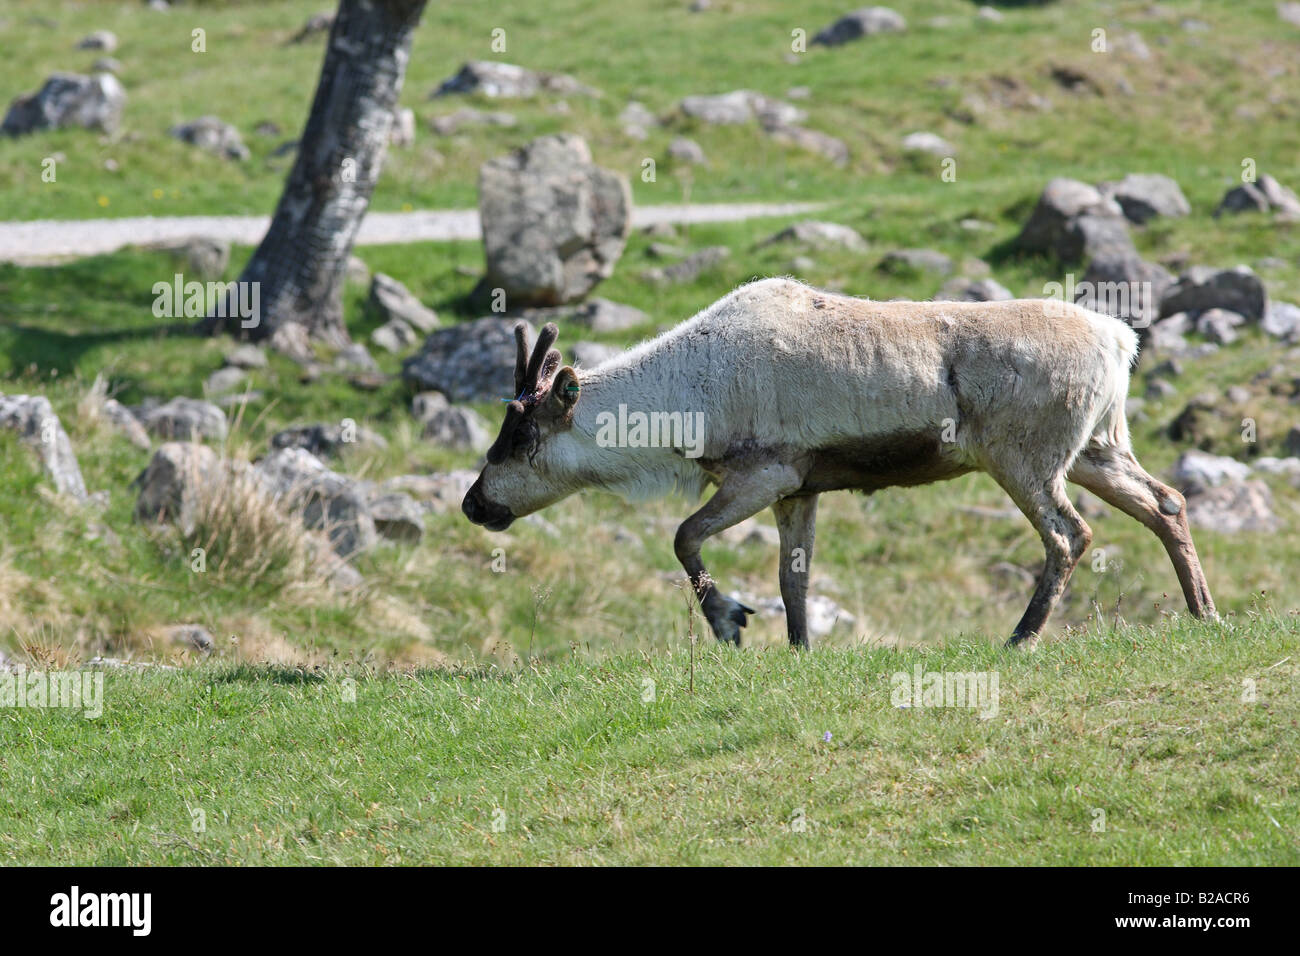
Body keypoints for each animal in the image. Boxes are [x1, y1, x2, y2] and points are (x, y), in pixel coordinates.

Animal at [462, 278, 1217, 649]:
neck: (685, 394)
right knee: (1166, 502)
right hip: (1097, 448)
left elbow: (683, 537)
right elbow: (792, 578)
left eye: (520, 438)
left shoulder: (765, 472)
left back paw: (1021, 637)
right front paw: (800, 649)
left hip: (1024, 459)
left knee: (1070, 534)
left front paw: (729, 623)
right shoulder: (800, 487)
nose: (473, 503)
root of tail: (1120, 340)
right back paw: (1205, 615)